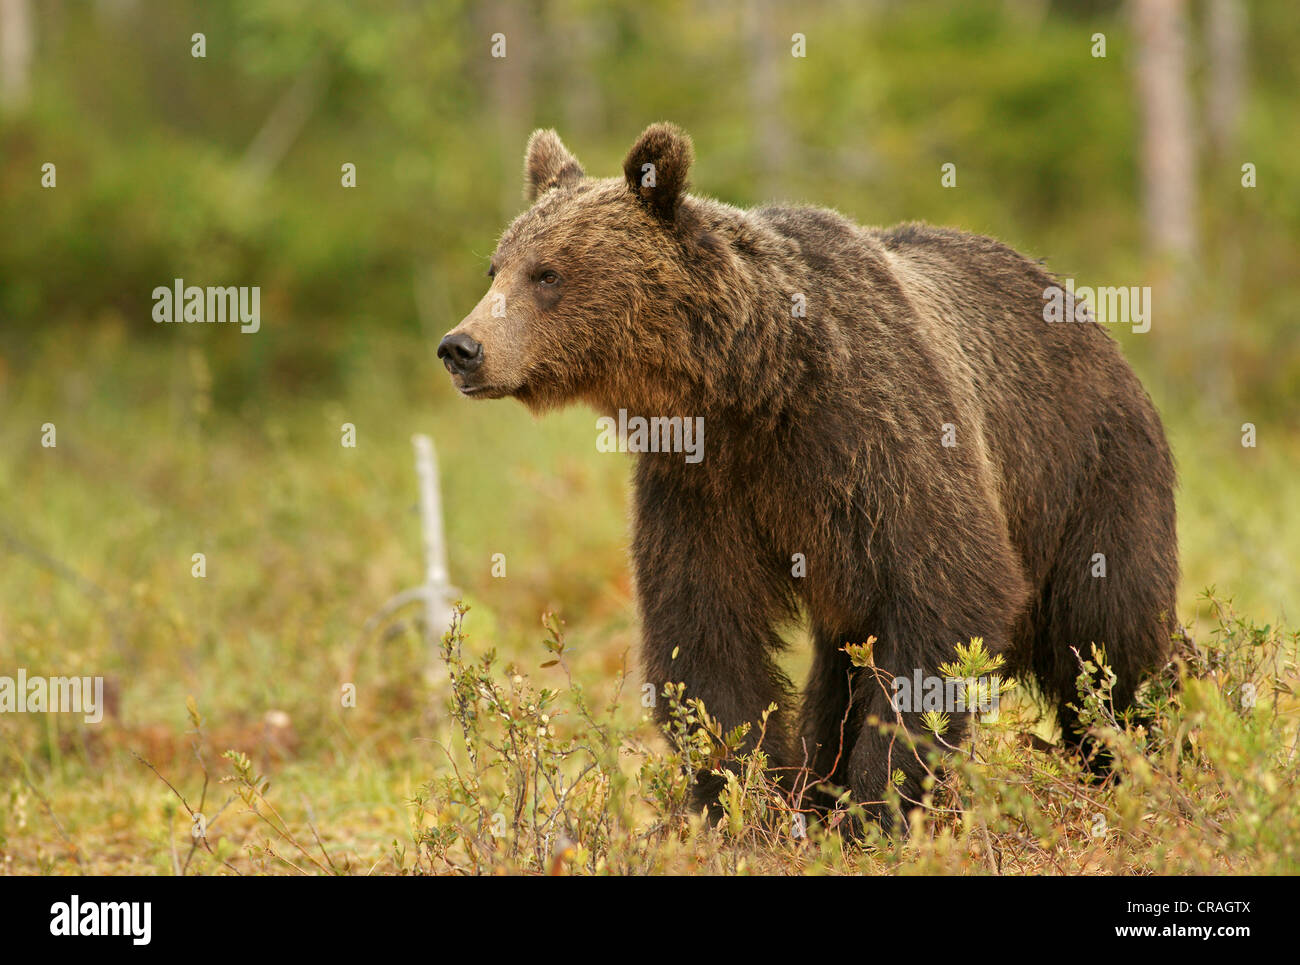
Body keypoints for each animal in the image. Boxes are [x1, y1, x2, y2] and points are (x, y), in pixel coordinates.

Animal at [438, 122, 1178, 828]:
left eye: (547, 273)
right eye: (495, 268)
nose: (460, 347)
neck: (755, 388)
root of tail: (1078, 306)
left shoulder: (878, 435)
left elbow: (946, 593)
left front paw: (877, 803)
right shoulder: (699, 482)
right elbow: (704, 633)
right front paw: (751, 798)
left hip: (1087, 469)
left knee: (1109, 635)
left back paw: (1153, 749)